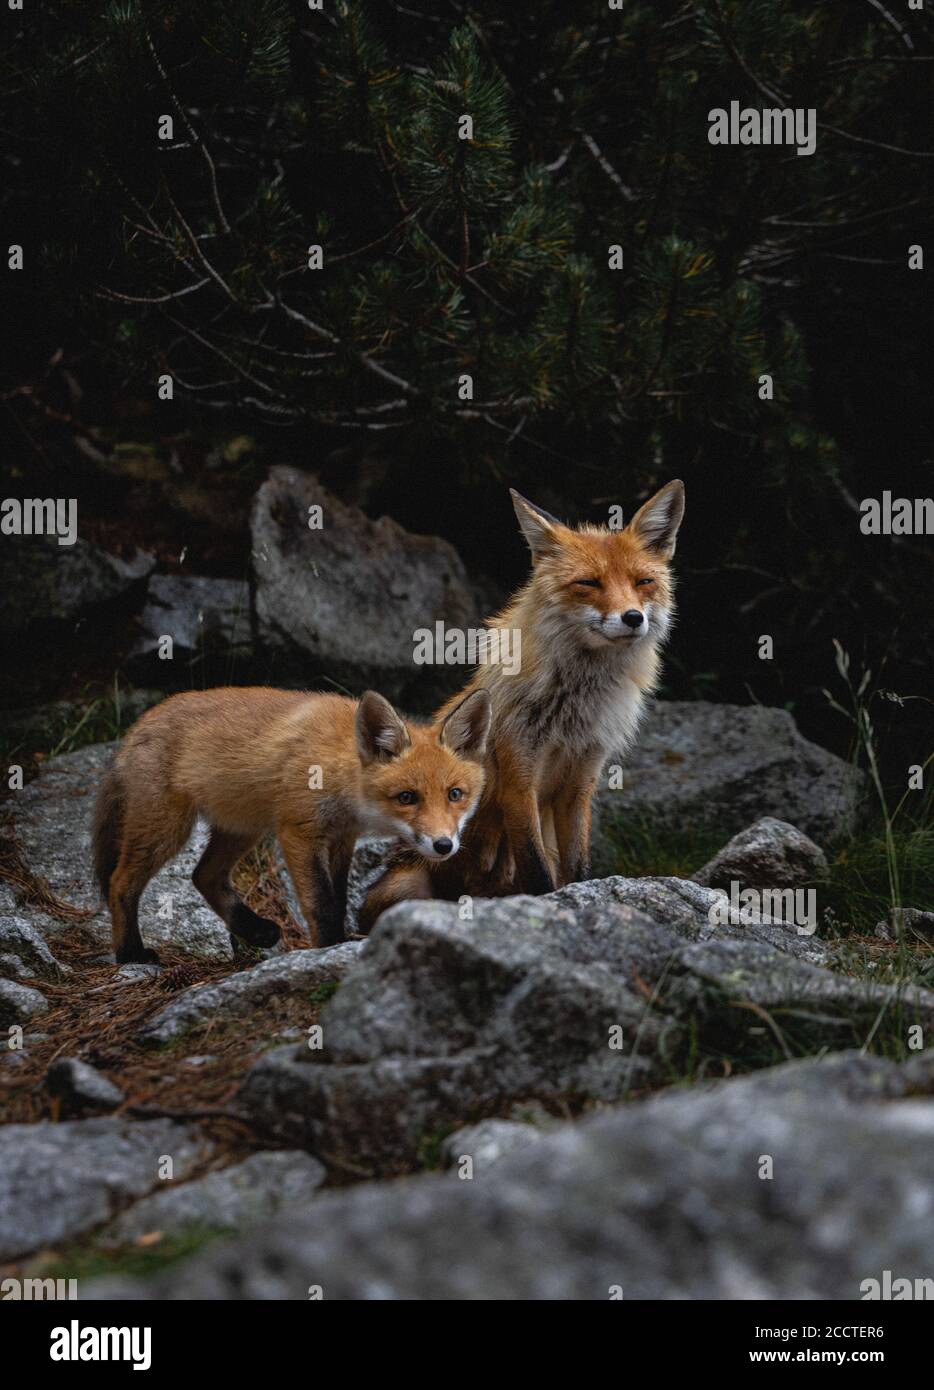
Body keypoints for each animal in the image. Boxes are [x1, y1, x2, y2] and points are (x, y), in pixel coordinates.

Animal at [91, 684, 491, 963]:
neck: (338, 769)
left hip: (242, 829)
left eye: (455, 794)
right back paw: (130, 953)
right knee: (120, 883)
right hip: (167, 828)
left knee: (204, 875)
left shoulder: (342, 838)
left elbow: (339, 897)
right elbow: (321, 903)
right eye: (407, 797)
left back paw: (254, 930)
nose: (444, 845)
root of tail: (135, 728)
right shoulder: (298, 831)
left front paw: (338, 942)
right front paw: (329, 947)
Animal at [360, 480, 685, 928]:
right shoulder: (519, 778)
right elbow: (537, 871)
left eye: (643, 581)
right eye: (589, 583)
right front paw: (547, 908)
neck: (574, 707)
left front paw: (586, 897)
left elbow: (577, 867)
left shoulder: (580, 782)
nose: (634, 617)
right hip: (407, 887)